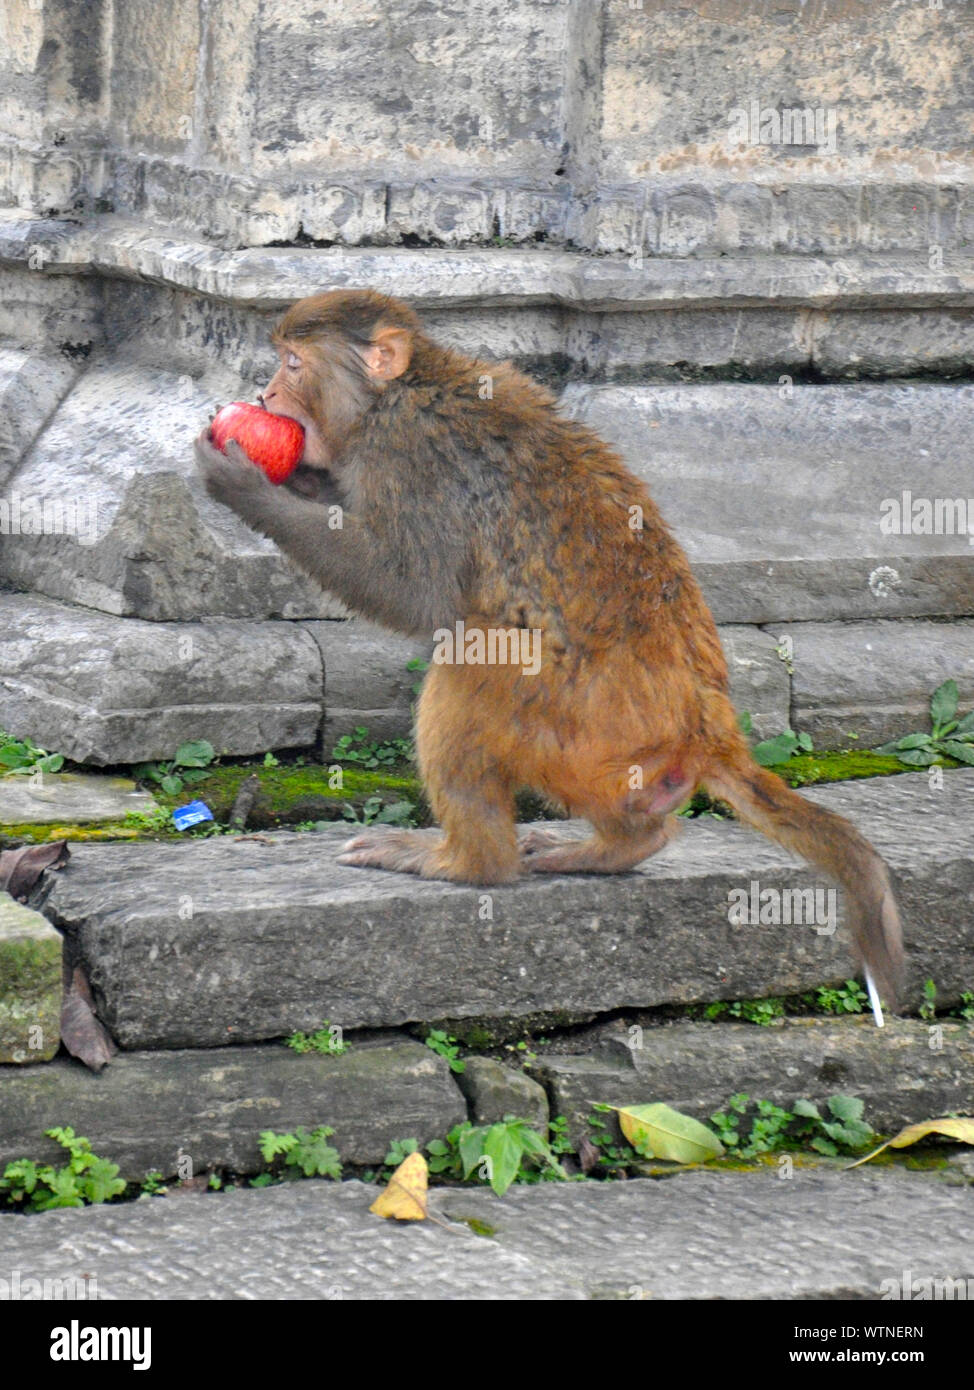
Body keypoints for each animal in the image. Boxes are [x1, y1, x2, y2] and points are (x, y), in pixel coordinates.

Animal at [194, 288, 904, 1006]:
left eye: (292, 363)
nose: (264, 392)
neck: (399, 391)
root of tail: (705, 719)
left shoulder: (411, 451)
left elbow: (414, 591)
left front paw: (243, 486)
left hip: (581, 718)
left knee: (471, 656)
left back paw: (470, 864)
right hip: (617, 759)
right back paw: (625, 844)